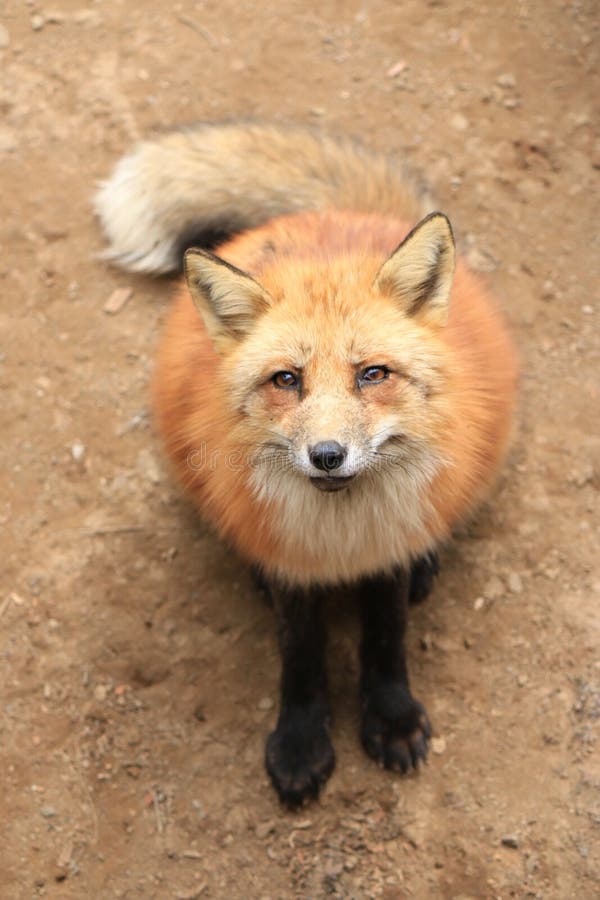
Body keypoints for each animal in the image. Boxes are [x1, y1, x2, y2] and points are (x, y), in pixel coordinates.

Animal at [95, 121, 518, 808]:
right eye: (286, 380)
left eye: (373, 374)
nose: (327, 456)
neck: (341, 540)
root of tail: (336, 212)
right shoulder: (290, 559)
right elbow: (301, 657)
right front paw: (299, 743)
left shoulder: (388, 549)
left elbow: (385, 638)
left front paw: (392, 719)